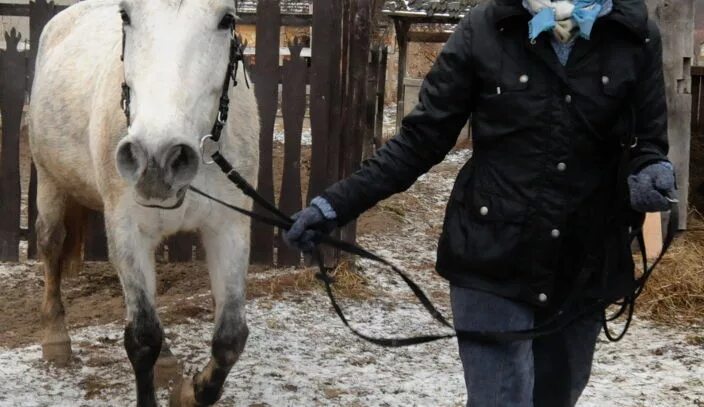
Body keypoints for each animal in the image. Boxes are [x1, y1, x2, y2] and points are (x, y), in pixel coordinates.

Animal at [30, 0, 260, 404]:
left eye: (227, 19)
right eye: (126, 15)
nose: (157, 157)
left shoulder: (228, 228)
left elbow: (230, 338)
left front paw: (189, 392)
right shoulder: (127, 229)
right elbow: (142, 338)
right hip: (50, 180)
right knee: (51, 245)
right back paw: (56, 340)